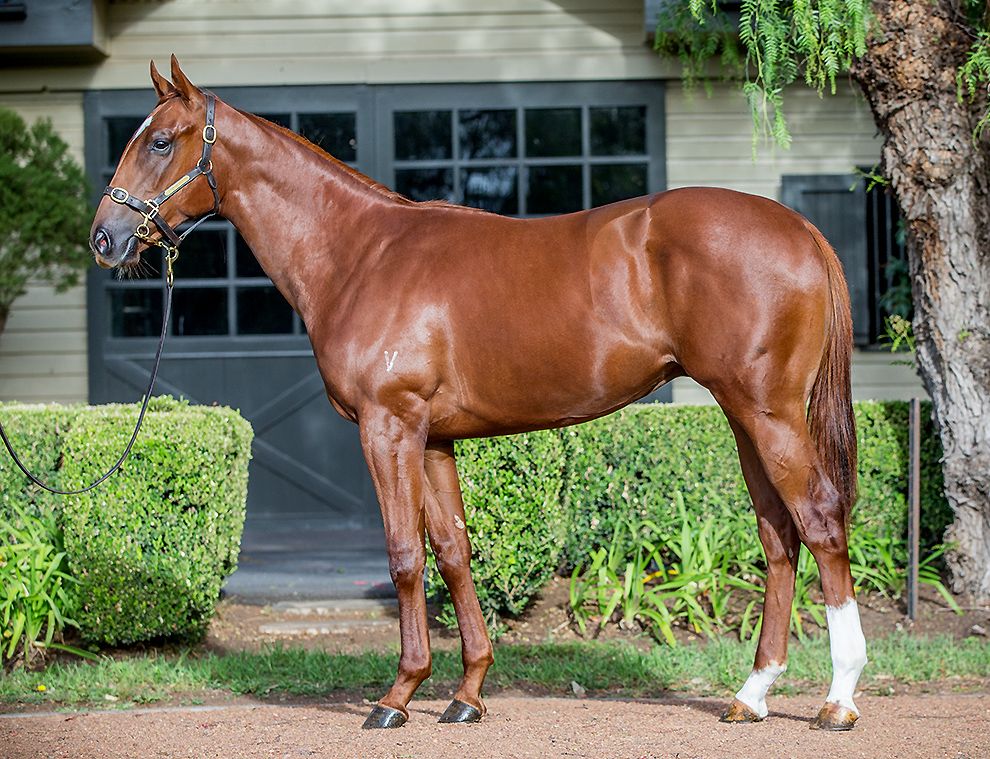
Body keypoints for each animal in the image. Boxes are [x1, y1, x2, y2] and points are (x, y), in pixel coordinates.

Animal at [90, 56, 867, 732]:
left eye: (160, 140)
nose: (106, 237)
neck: (361, 254)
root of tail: (798, 227)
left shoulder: (388, 427)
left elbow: (405, 554)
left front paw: (397, 695)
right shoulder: (433, 437)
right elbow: (454, 551)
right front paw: (466, 693)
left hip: (768, 414)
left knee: (821, 522)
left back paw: (838, 699)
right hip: (744, 416)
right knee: (778, 536)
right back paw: (753, 693)